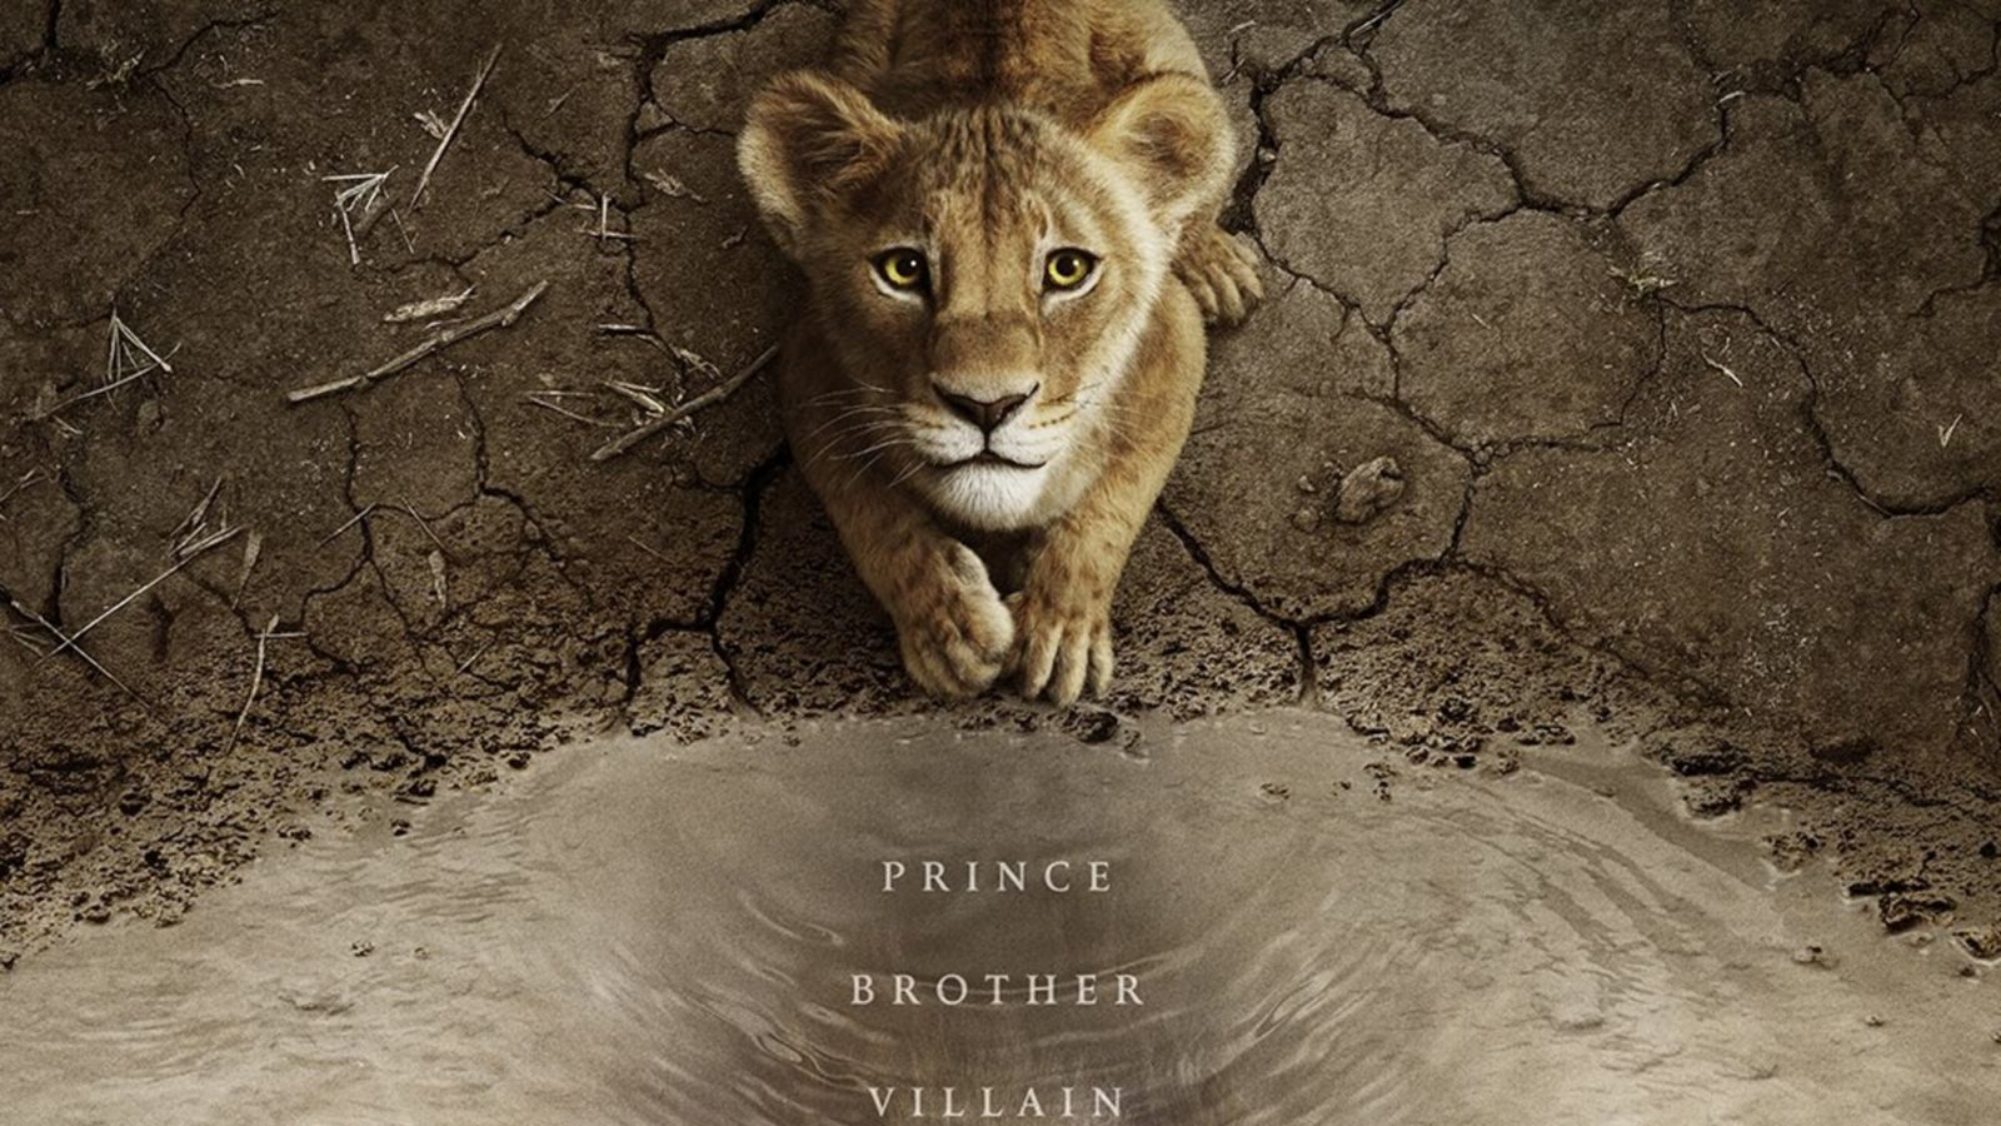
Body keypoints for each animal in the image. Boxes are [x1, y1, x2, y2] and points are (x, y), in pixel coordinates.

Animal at [738, 0, 1261, 704]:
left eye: (1068, 269)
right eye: (904, 269)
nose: (987, 407)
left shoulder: (1172, 343)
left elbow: (1113, 502)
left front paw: (1061, 628)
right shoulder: (806, 364)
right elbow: (869, 512)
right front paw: (949, 628)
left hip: (1173, 62)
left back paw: (1215, 265)